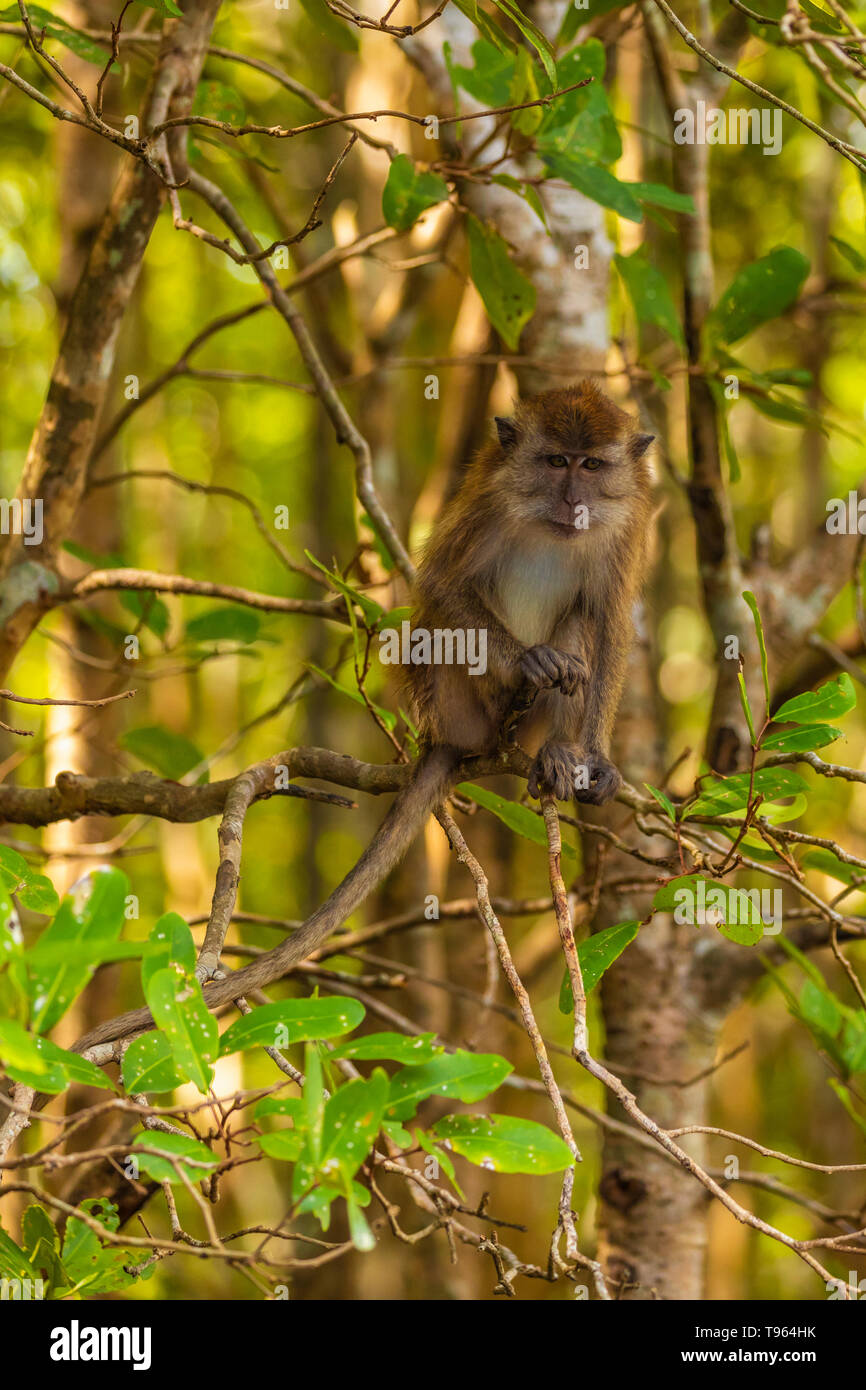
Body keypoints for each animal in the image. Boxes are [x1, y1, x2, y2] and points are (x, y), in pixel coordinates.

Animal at [74, 381, 653, 1051]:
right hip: (452, 699)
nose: (573, 500)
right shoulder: (486, 507)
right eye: (557, 461)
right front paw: (530, 659)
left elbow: (609, 625)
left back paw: (559, 750)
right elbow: (444, 587)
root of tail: (448, 734)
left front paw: (598, 757)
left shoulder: (625, 530)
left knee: (582, 627)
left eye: (592, 466)